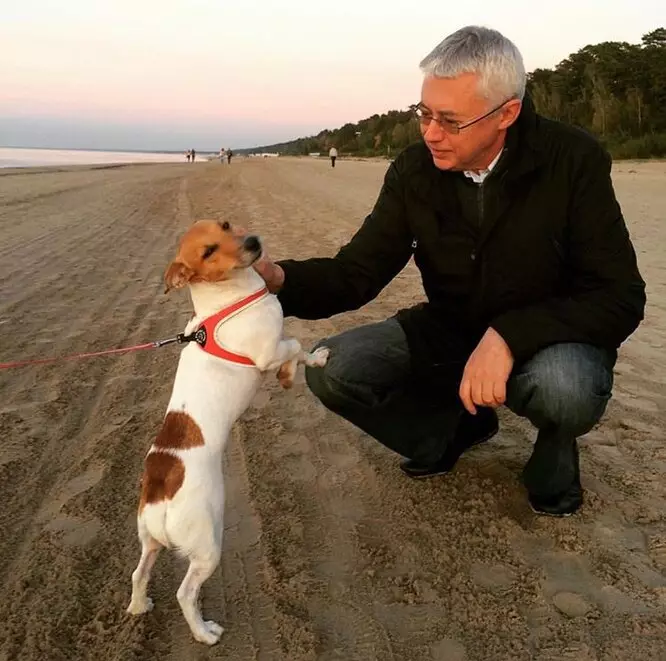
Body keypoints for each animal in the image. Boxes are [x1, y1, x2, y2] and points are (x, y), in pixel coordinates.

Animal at [125, 219, 326, 640]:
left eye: (226, 224)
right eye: (207, 252)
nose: (253, 241)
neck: (228, 299)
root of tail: (159, 494)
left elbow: (297, 349)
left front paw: (307, 364)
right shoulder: (269, 351)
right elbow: (294, 345)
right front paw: (298, 369)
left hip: (149, 542)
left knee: (138, 572)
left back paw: (138, 605)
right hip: (207, 547)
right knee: (186, 593)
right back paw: (204, 633)